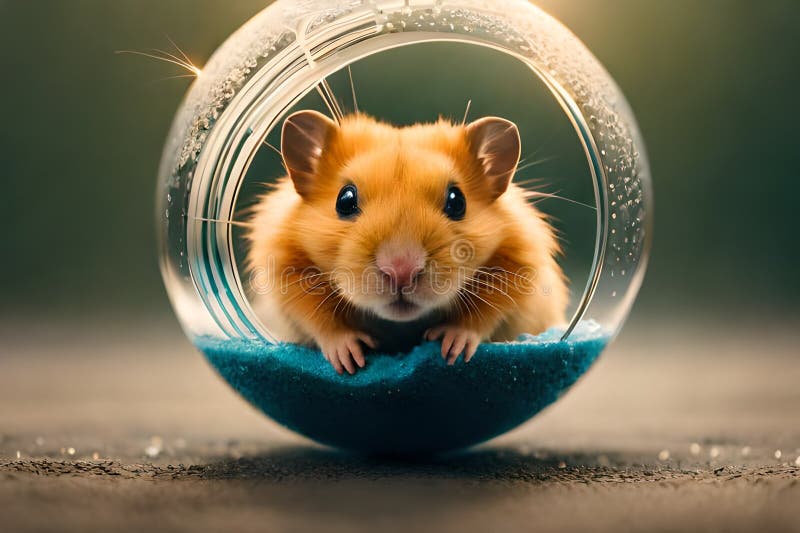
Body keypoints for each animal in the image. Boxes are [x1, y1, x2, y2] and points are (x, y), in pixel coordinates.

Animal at [246, 111, 567, 374]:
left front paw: (451, 347)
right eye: (345, 200)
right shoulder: (285, 271)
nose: (401, 272)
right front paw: (351, 359)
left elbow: (486, 313)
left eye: (457, 201)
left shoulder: (518, 269)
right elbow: (316, 317)